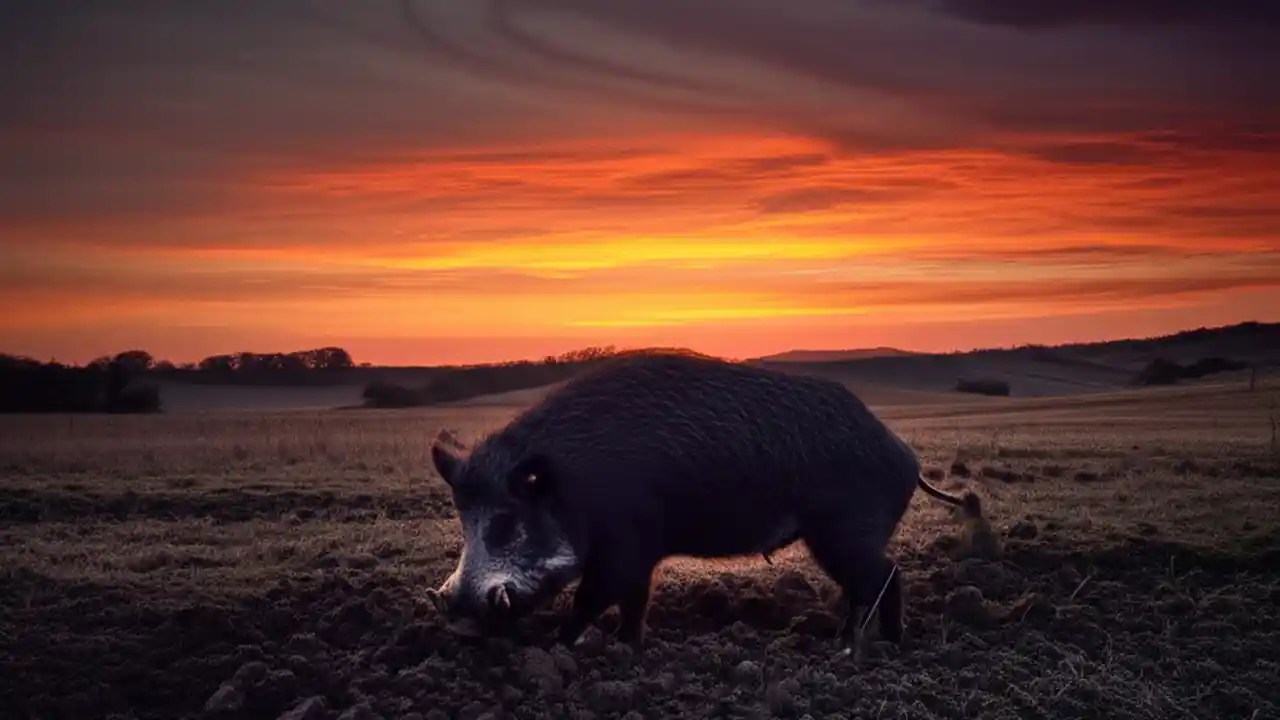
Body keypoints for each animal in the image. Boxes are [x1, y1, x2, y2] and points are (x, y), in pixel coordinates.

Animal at [425, 352, 984, 647]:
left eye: (505, 520)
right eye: (462, 520)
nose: (461, 617)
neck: (574, 489)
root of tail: (906, 457)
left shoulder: (626, 543)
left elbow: (594, 596)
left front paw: (560, 644)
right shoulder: (640, 552)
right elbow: (634, 599)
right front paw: (628, 645)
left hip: (844, 531)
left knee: (886, 575)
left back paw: (869, 646)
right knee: (865, 585)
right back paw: (849, 640)